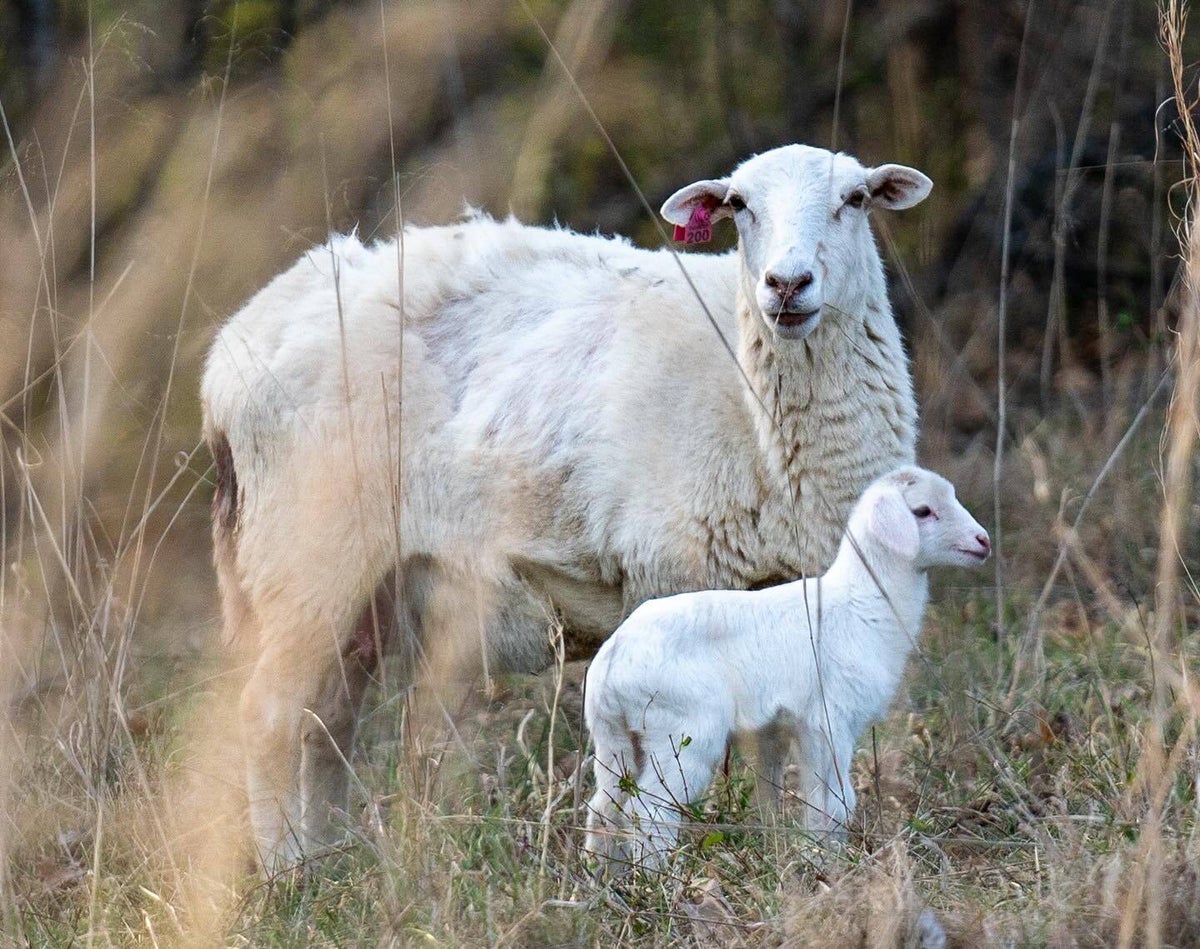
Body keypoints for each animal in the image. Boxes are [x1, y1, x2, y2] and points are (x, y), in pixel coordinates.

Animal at [201, 143, 931, 868]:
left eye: (855, 200)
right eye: (740, 206)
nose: (786, 285)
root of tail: (232, 351)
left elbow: (774, 740)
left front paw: (781, 845)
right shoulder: (673, 576)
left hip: (361, 587)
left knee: (326, 718)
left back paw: (328, 856)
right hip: (305, 554)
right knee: (268, 714)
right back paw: (286, 869)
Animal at [582, 466, 990, 867]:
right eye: (923, 511)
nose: (983, 541)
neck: (864, 602)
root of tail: (611, 662)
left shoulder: (790, 729)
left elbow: (804, 800)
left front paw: (812, 856)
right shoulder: (830, 719)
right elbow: (837, 802)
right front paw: (832, 865)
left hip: (616, 737)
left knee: (605, 807)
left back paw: (607, 877)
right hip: (684, 728)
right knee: (649, 811)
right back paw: (657, 878)